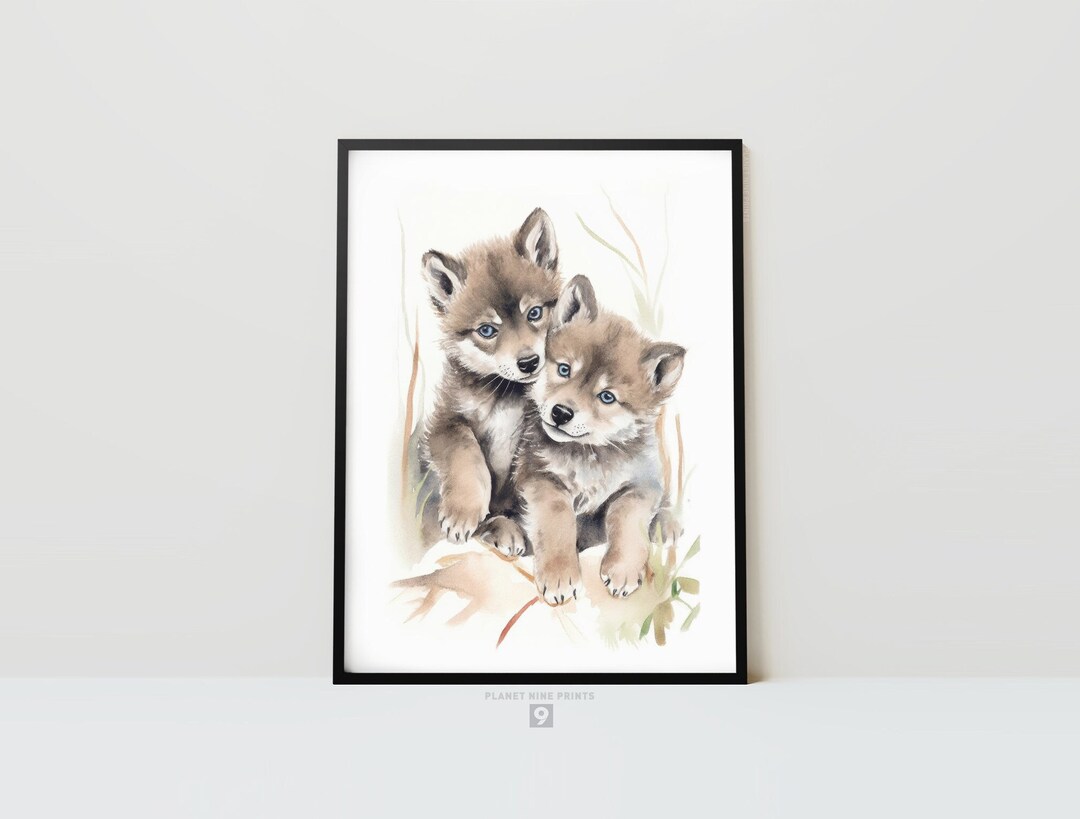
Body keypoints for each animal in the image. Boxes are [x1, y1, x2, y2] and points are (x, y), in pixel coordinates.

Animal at [419, 208, 563, 548]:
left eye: (534, 313)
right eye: (487, 330)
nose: (529, 362)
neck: (504, 394)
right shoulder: (446, 422)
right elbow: (466, 456)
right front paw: (464, 510)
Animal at [511, 275, 686, 605]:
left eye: (607, 397)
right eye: (564, 369)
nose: (561, 412)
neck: (589, 457)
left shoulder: (641, 485)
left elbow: (626, 518)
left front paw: (623, 570)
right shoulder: (540, 477)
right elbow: (557, 520)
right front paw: (559, 575)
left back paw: (668, 523)